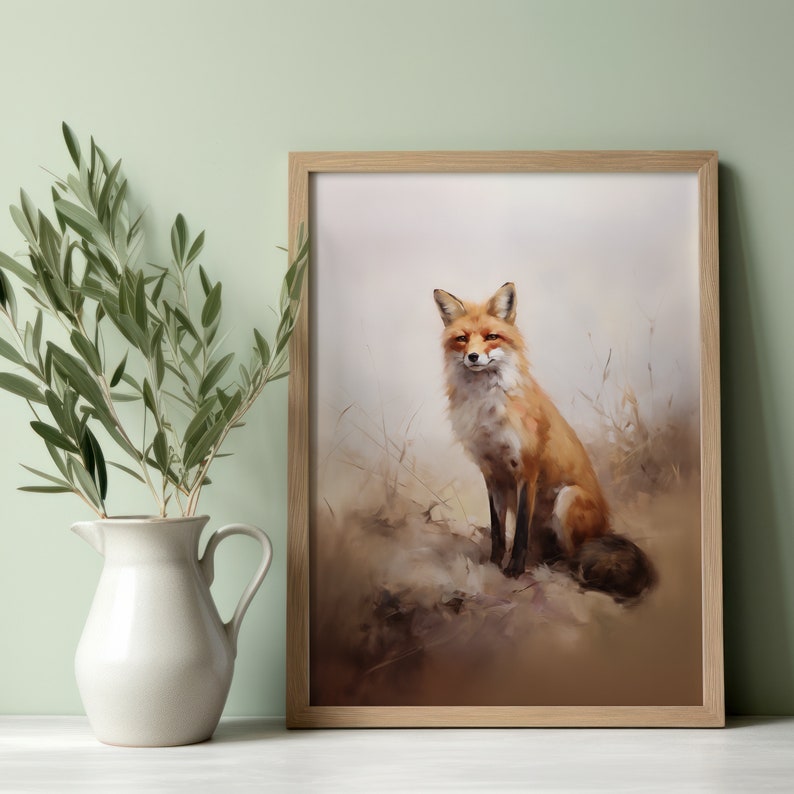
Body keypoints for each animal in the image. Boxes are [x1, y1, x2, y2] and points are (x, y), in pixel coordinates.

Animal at [434, 282, 655, 602]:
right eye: (462, 339)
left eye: (491, 337)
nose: (473, 357)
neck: (487, 407)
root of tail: (605, 530)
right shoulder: (492, 473)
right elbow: (498, 530)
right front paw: (493, 563)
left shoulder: (526, 469)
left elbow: (519, 533)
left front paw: (514, 570)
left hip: (567, 499)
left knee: (574, 557)